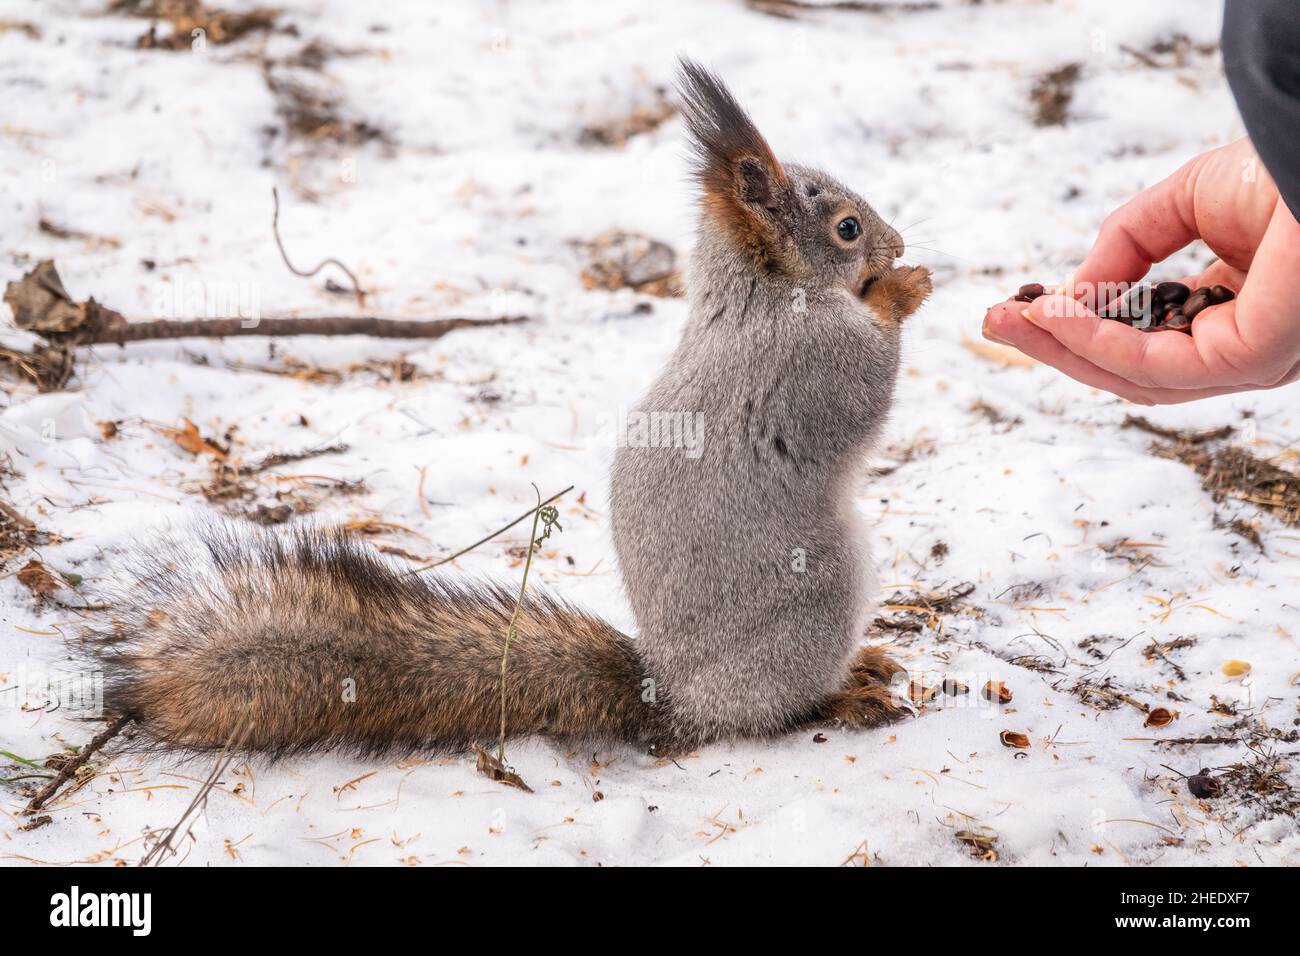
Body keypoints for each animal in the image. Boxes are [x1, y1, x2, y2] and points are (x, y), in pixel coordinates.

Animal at [82, 60, 932, 757]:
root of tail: (677, 699)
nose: (895, 245)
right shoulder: (814, 364)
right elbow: (864, 393)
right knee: (782, 713)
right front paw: (901, 291)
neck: (761, 298)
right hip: (817, 603)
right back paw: (844, 696)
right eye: (847, 228)